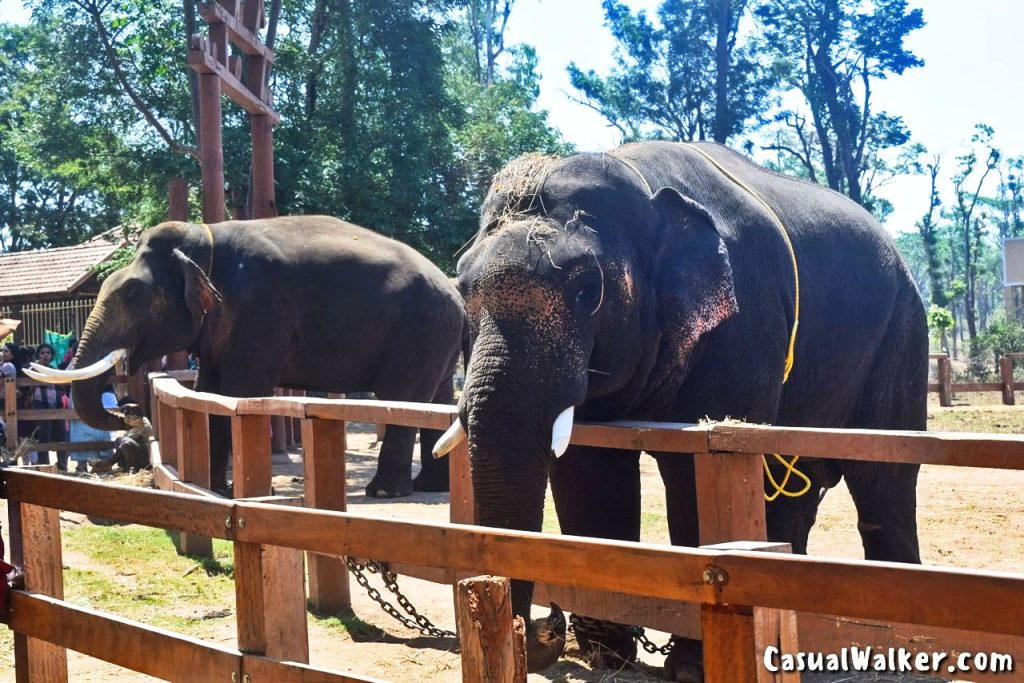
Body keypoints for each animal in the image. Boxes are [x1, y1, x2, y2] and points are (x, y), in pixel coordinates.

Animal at [34, 215, 468, 498]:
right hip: (437, 339)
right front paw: (212, 488)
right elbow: (208, 391)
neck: (203, 240)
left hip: (420, 330)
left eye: (134, 294)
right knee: (437, 398)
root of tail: (457, 294)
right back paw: (428, 486)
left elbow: (239, 391)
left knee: (404, 398)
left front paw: (225, 490)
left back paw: (383, 493)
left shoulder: (257, 310)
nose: (127, 407)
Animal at [435, 142, 927, 677]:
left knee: (884, 479)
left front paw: (690, 666)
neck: (641, 181)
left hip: (902, 330)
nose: (543, 626)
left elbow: (693, 476)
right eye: (462, 291)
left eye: (588, 290)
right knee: (794, 490)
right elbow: (589, 473)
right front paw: (608, 655)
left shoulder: (745, 323)